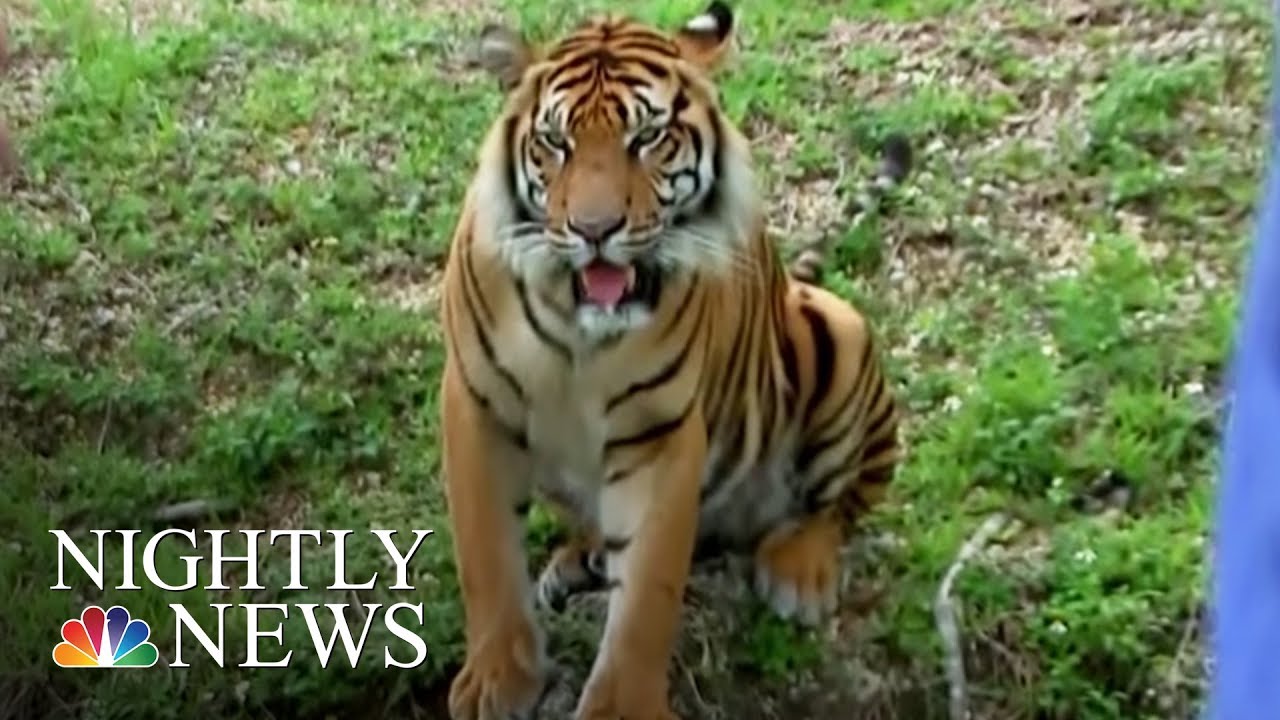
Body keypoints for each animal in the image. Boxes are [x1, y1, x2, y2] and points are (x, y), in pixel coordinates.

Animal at [437, 4, 911, 719]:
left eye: (648, 139)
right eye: (556, 143)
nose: (594, 230)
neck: (578, 324)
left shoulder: (660, 437)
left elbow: (647, 597)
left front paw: (621, 707)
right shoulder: (474, 403)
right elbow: (485, 556)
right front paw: (497, 682)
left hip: (841, 329)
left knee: (840, 502)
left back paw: (799, 570)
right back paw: (577, 563)